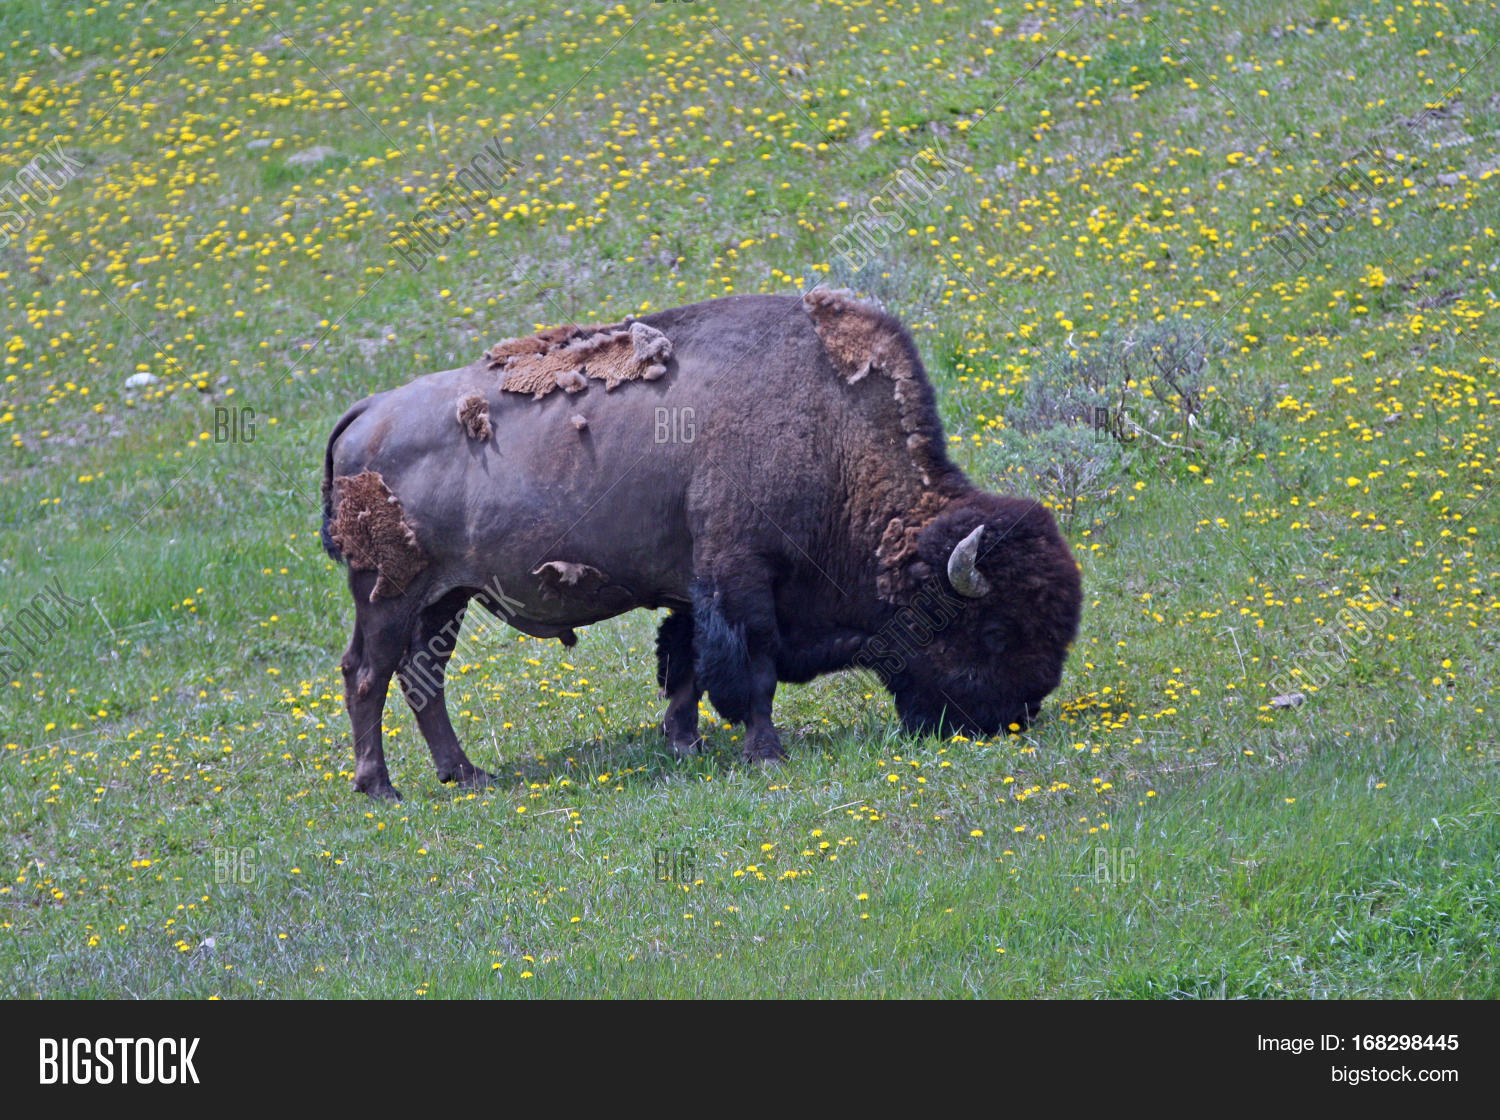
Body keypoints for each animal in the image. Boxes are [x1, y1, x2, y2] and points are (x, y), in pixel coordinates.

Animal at [321, 290, 1082, 799]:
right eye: (993, 630)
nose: (1019, 714)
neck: (829, 432)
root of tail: (367, 411)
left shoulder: (692, 589)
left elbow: (683, 663)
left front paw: (684, 743)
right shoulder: (740, 578)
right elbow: (752, 668)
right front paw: (764, 751)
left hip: (444, 600)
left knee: (423, 679)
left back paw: (467, 775)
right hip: (389, 596)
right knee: (368, 673)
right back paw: (381, 788)